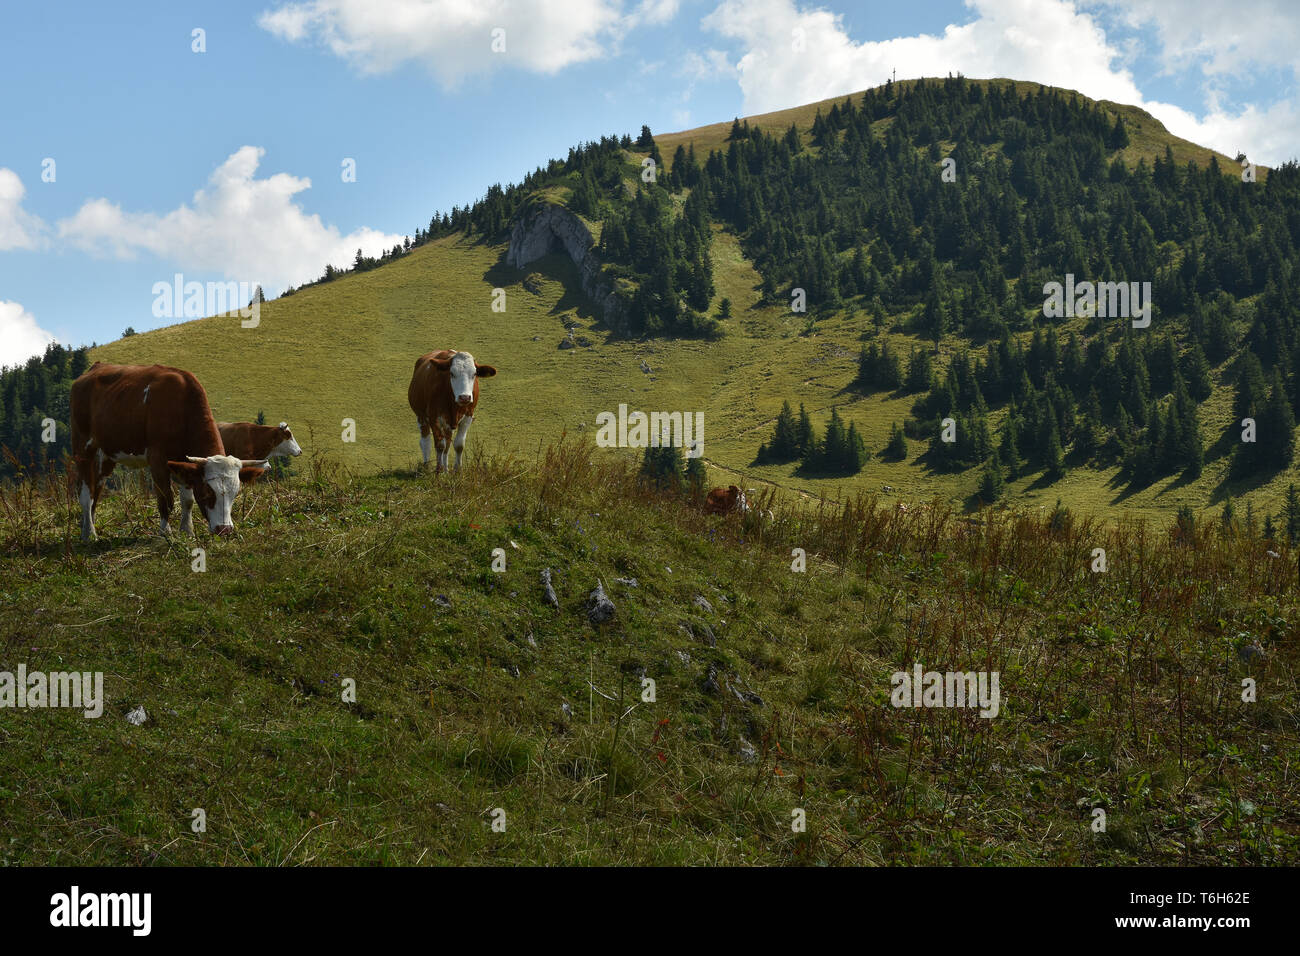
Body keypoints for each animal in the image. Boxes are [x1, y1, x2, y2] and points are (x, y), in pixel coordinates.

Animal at [69, 362, 267, 541]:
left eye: (235, 494)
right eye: (207, 492)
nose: (224, 529)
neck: (183, 406)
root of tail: (95, 367)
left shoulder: (185, 463)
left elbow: (187, 500)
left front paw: (187, 531)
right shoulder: (157, 459)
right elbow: (166, 499)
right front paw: (165, 532)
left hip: (108, 453)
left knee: (97, 487)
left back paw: (88, 525)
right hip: (83, 446)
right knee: (86, 492)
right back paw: (89, 534)